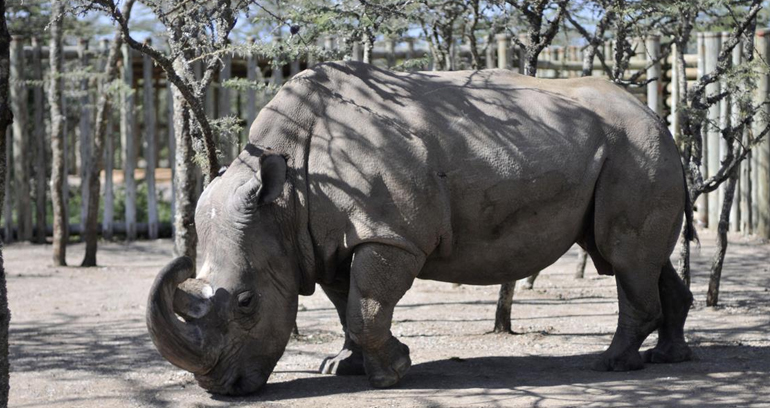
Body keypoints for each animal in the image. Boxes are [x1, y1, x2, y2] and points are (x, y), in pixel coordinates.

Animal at [146, 61, 694, 395]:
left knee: (623, 256)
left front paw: (391, 374)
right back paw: (671, 358)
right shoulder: (322, 241)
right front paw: (342, 367)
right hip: (629, 148)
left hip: (636, 148)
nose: (224, 390)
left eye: (246, 303)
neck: (285, 198)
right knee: (638, 259)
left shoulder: (390, 234)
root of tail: (656, 113)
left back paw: (613, 364)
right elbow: (345, 303)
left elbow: (366, 306)